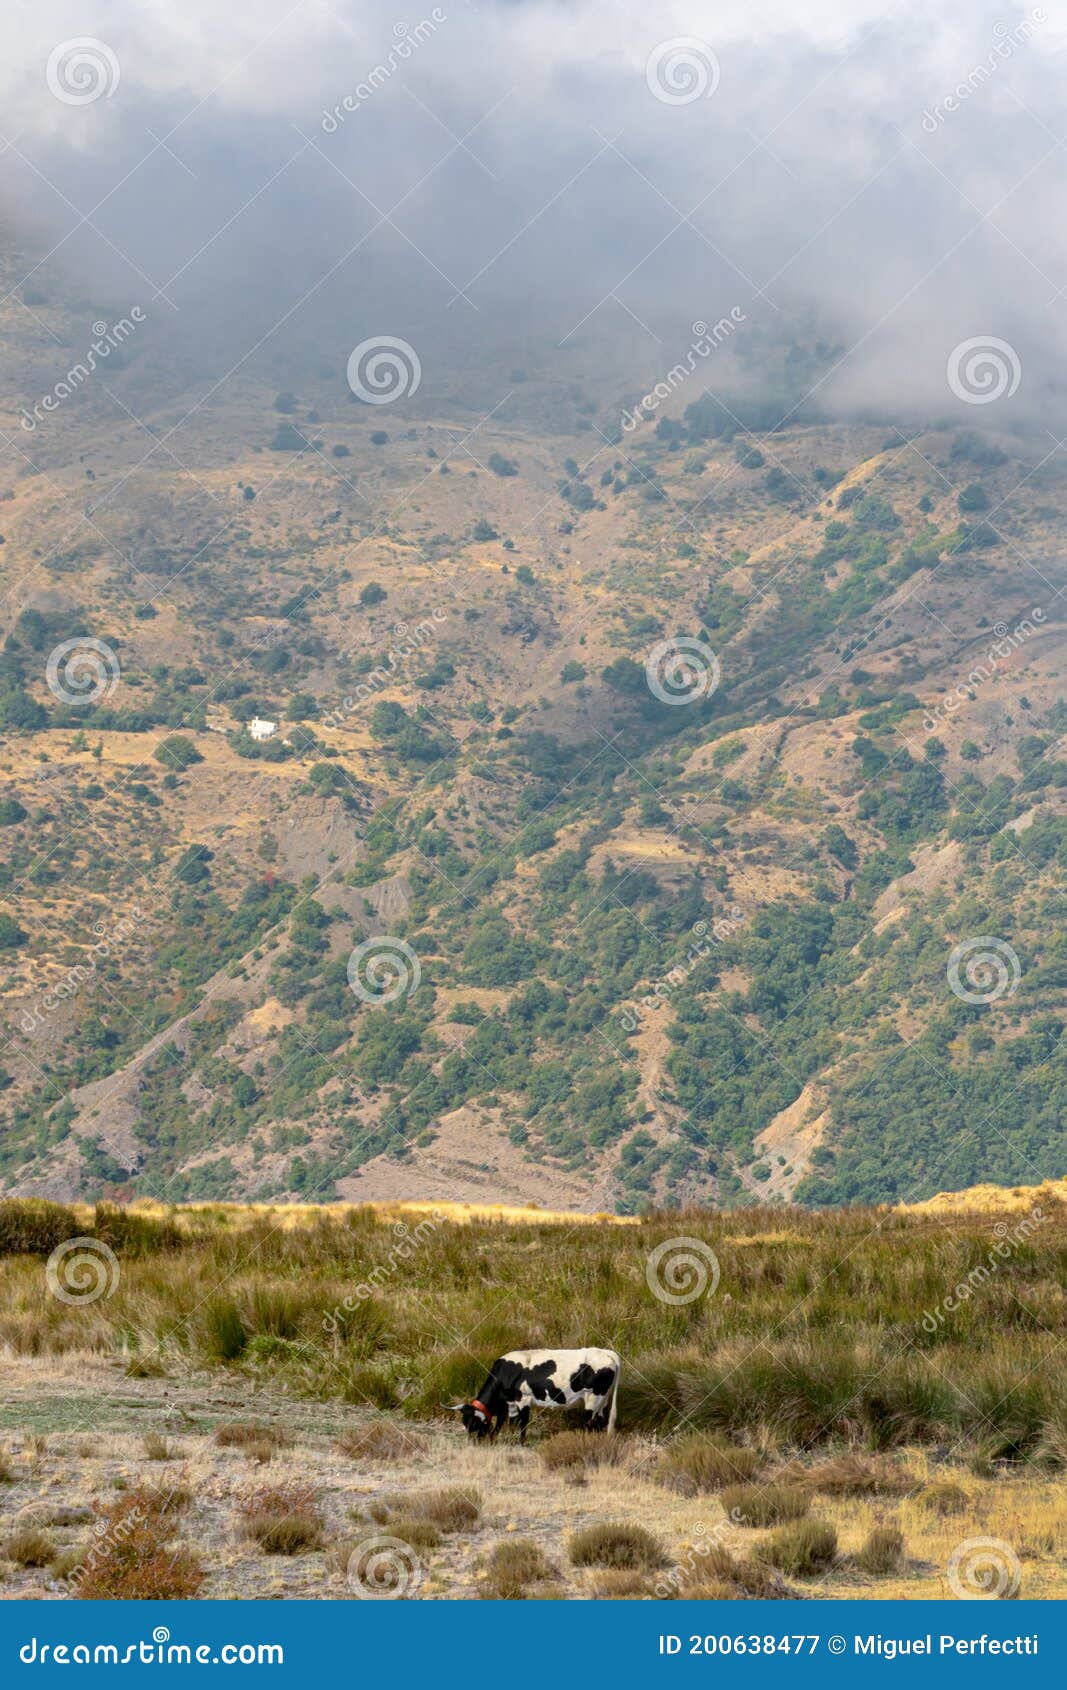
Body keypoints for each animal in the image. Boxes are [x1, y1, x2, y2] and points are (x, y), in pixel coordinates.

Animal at [449, 1348, 620, 1443]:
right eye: (465, 1423)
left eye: (474, 1424)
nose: (472, 1443)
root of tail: (607, 1352)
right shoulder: (508, 1404)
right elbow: (504, 1422)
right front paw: (497, 1439)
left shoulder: (523, 1399)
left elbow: (523, 1423)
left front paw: (521, 1443)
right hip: (602, 1400)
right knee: (599, 1421)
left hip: (593, 1398)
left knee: (589, 1422)